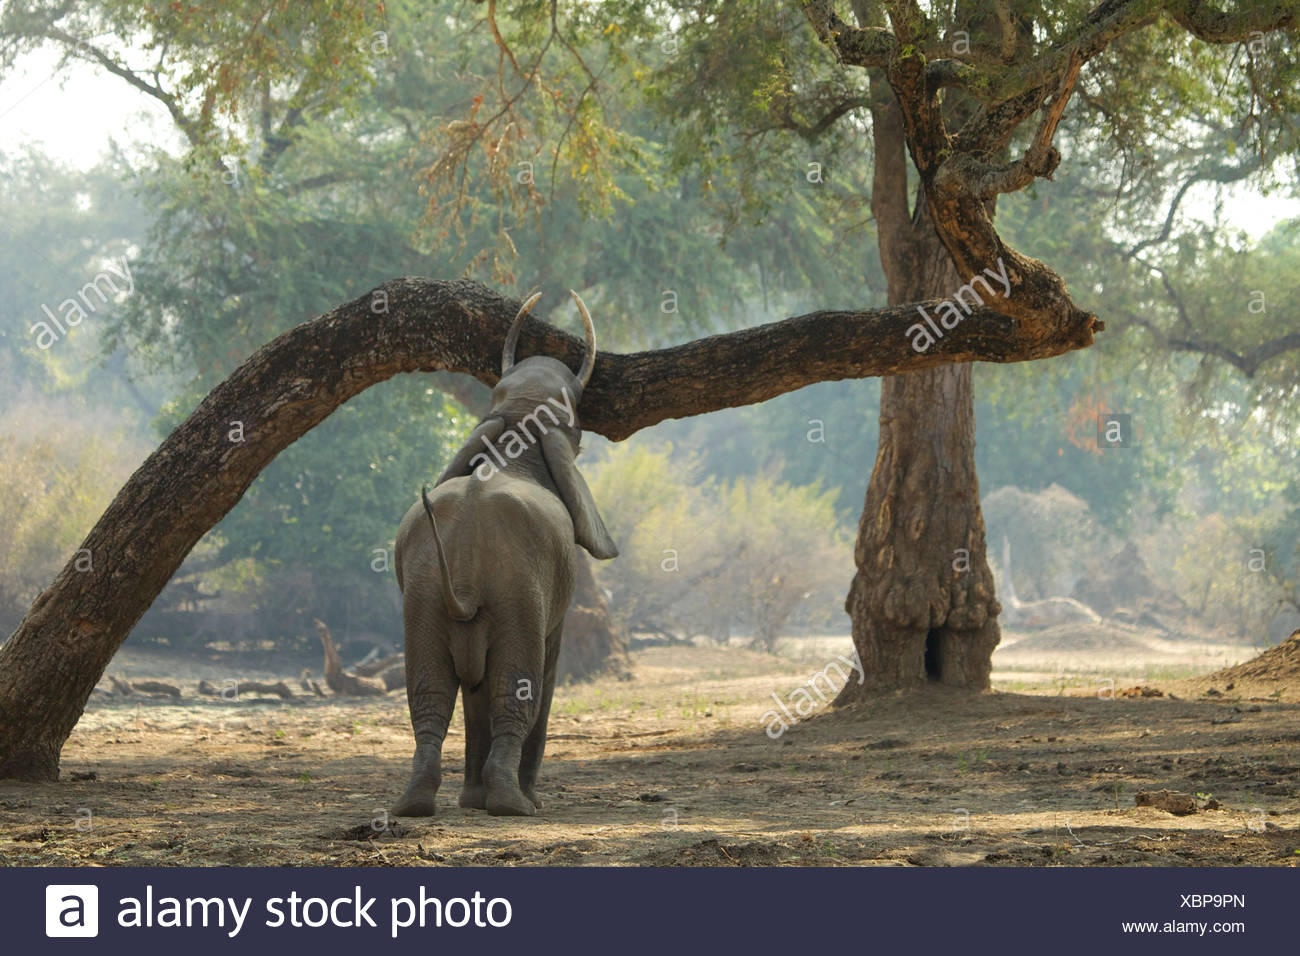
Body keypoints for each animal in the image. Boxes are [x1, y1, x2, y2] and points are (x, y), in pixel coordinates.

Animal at [390, 290, 618, 817]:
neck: (517, 429)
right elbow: (546, 669)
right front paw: (515, 800)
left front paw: (471, 802)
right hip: (517, 594)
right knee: (517, 688)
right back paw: (515, 804)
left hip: (426, 596)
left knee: (429, 691)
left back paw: (414, 804)